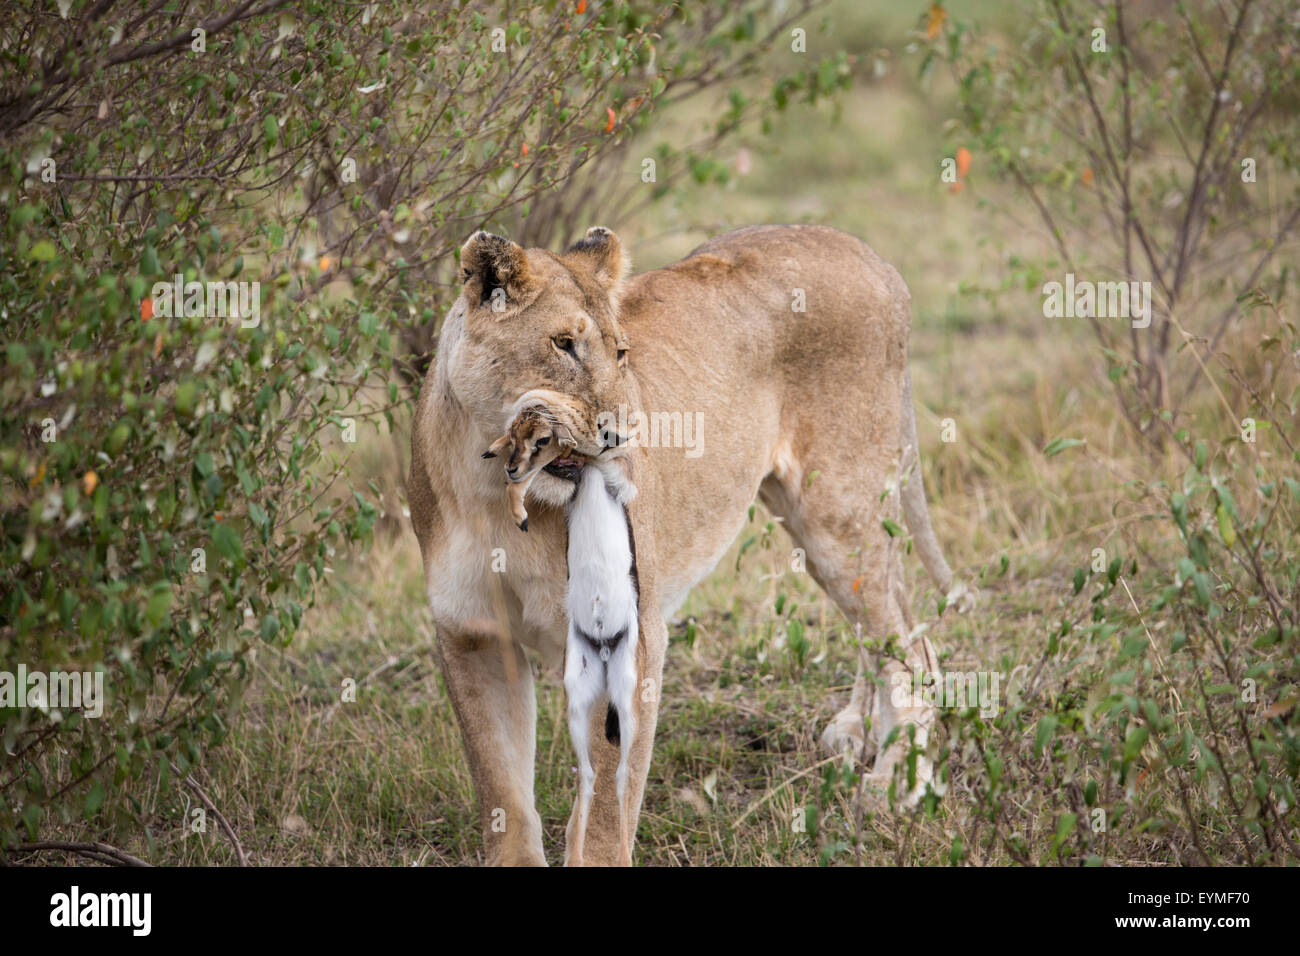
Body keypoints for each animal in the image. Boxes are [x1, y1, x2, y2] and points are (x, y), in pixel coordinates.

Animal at [409, 224, 963, 866]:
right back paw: (856, 729)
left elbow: (604, 811)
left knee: (911, 645)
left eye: (621, 352)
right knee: (892, 621)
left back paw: (898, 783)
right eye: (563, 344)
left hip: (839, 513)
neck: (493, 498)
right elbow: (502, 792)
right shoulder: (471, 633)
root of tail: (866, 250)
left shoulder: (625, 635)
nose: (625, 434)